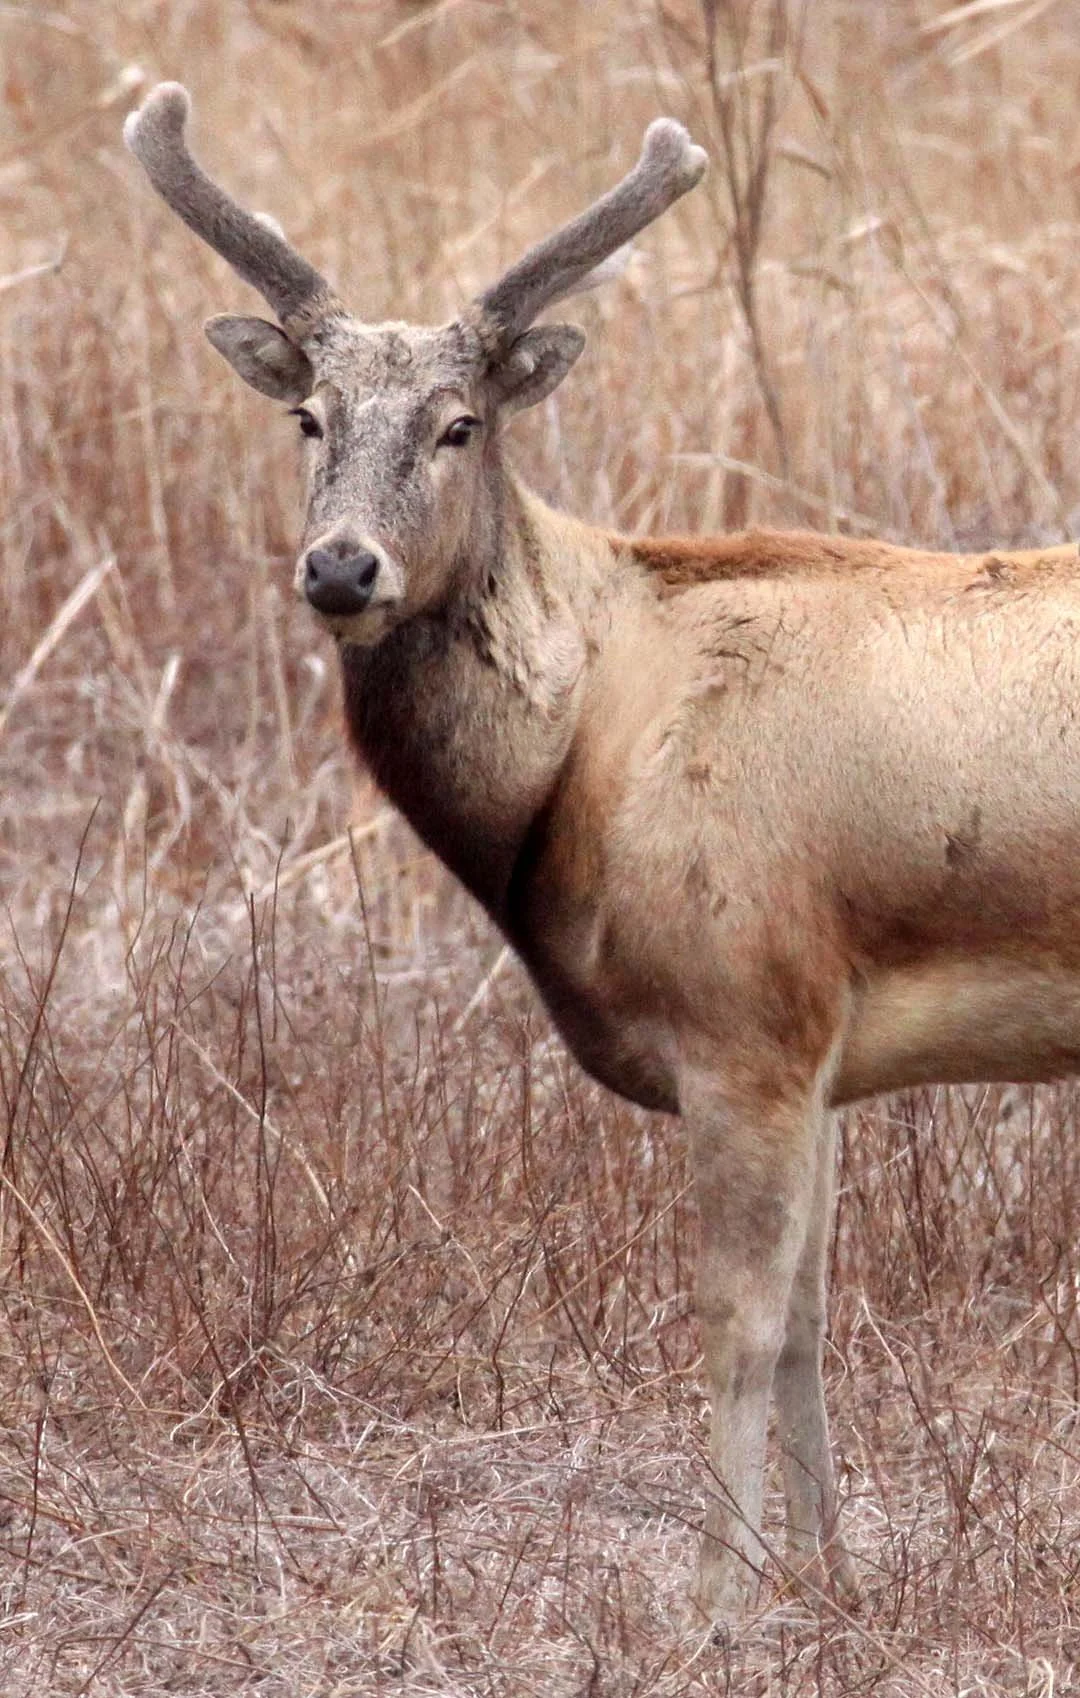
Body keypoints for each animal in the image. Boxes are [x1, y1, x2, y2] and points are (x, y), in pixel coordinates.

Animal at [124, 82, 1080, 1620]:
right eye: (310, 417)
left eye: (459, 424)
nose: (340, 568)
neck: (588, 751)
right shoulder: (815, 1046)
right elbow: (811, 1315)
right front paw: (825, 1580)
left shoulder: (744, 1009)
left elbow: (735, 1319)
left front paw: (712, 1601)